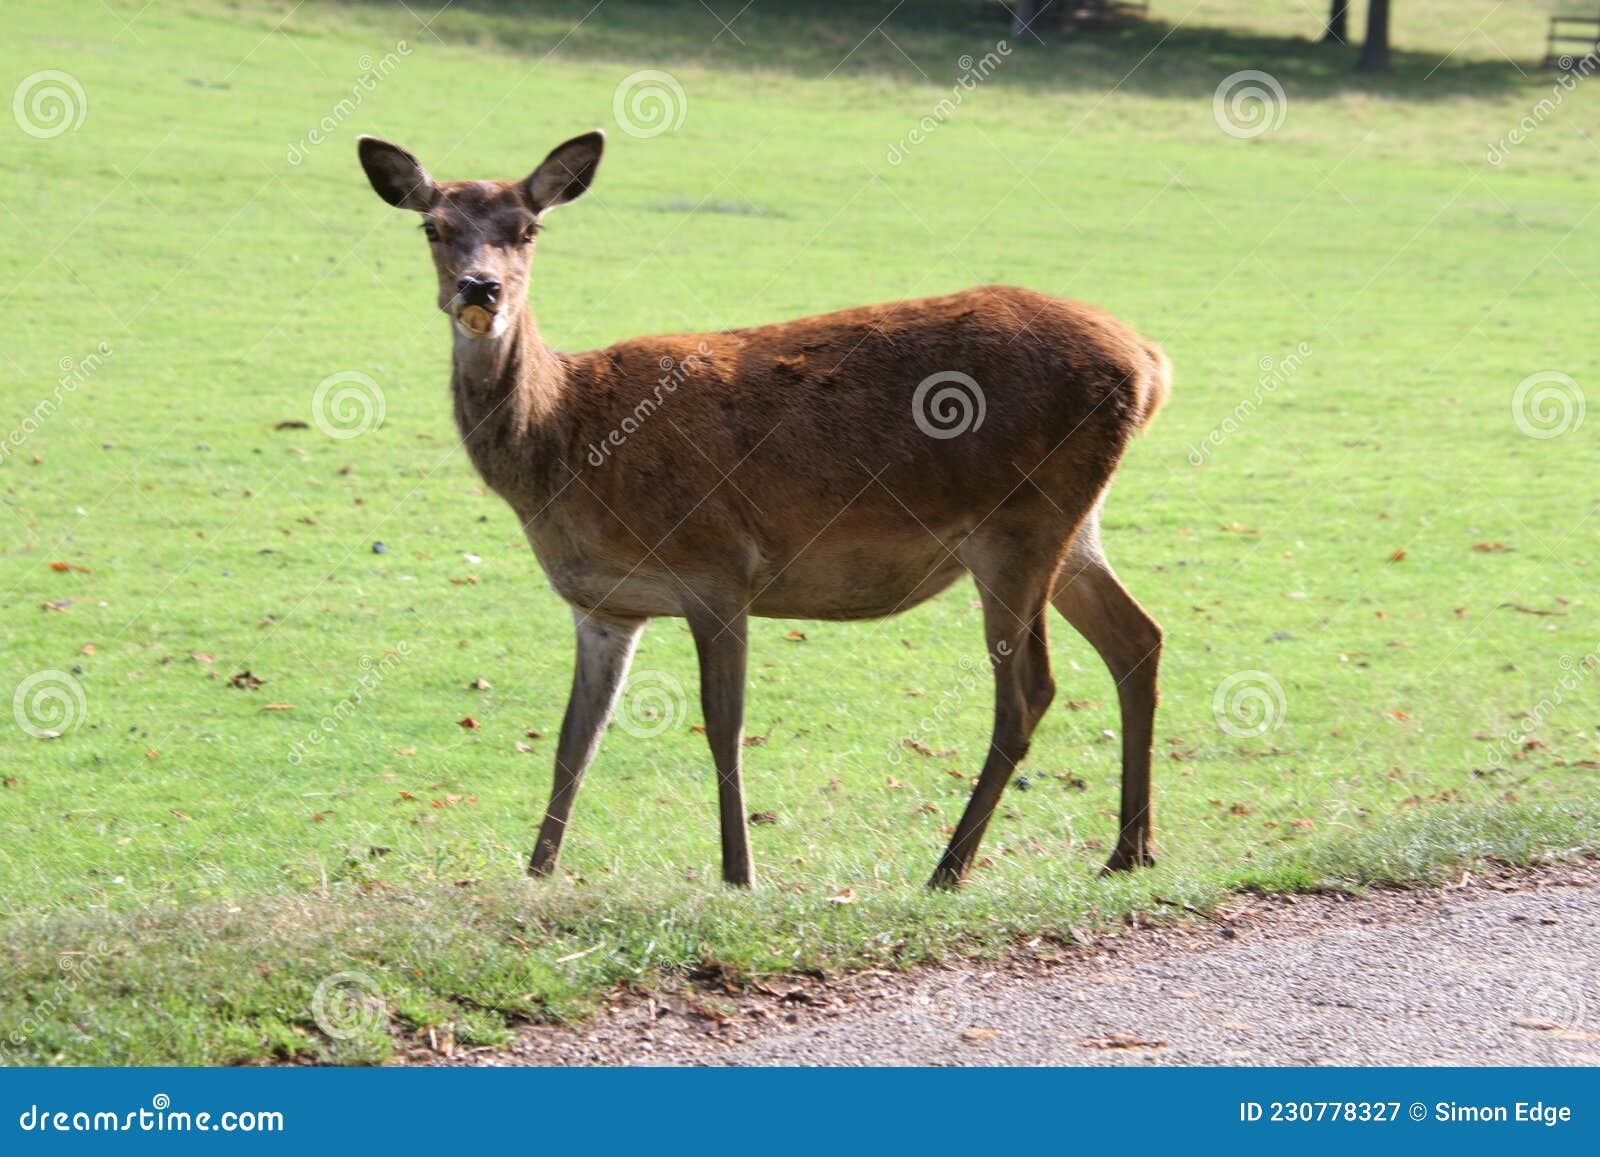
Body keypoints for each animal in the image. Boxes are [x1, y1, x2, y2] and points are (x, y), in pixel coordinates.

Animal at [357, 130, 1170, 890]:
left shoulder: (717, 566)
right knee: (1138, 638)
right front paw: (537, 872)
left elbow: (723, 724)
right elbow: (573, 739)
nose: (481, 289)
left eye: (529, 228)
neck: (565, 445)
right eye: (433, 226)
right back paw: (1128, 851)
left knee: (1029, 689)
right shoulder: (605, 605)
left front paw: (739, 871)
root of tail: (1150, 364)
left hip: (1017, 523)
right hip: (1072, 526)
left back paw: (950, 866)